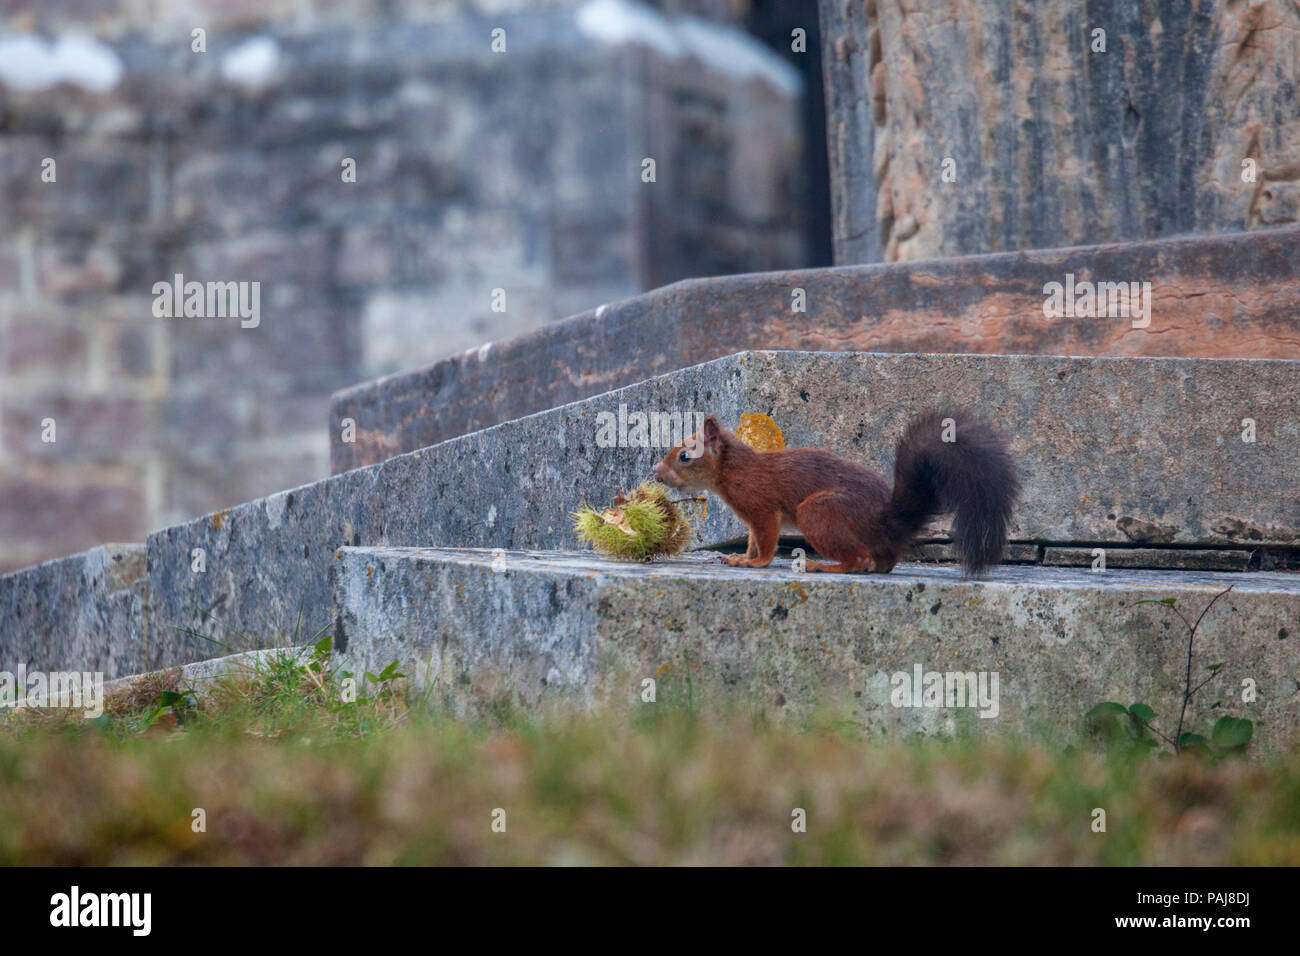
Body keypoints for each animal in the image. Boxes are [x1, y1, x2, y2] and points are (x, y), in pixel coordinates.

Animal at [652, 410, 1019, 577]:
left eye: (684, 456)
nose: (655, 473)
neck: (733, 470)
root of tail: (885, 520)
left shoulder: (761, 507)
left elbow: (766, 541)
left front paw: (755, 562)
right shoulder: (750, 518)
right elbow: (752, 539)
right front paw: (738, 557)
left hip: (817, 512)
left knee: (855, 558)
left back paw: (822, 566)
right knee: (883, 562)